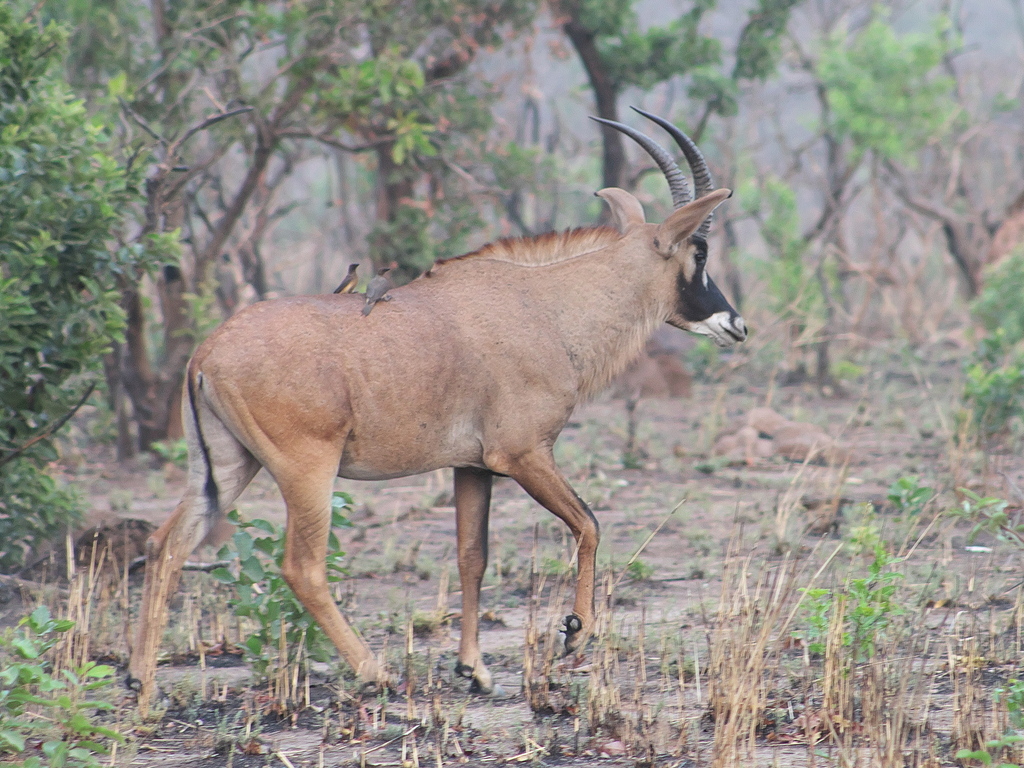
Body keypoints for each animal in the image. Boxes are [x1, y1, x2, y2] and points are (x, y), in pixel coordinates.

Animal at [127, 109, 747, 710]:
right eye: (699, 251)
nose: (735, 324)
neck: (547, 307)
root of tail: (206, 353)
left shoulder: (471, 467)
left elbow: (472, 556)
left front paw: (475, 670)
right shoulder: (524, 455)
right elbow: (589, 523)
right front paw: (575, 632)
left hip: (227, 467)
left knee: (166, 545)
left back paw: (143, 687)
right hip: (307, 472)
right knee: (302, 568)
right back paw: (374, 671)